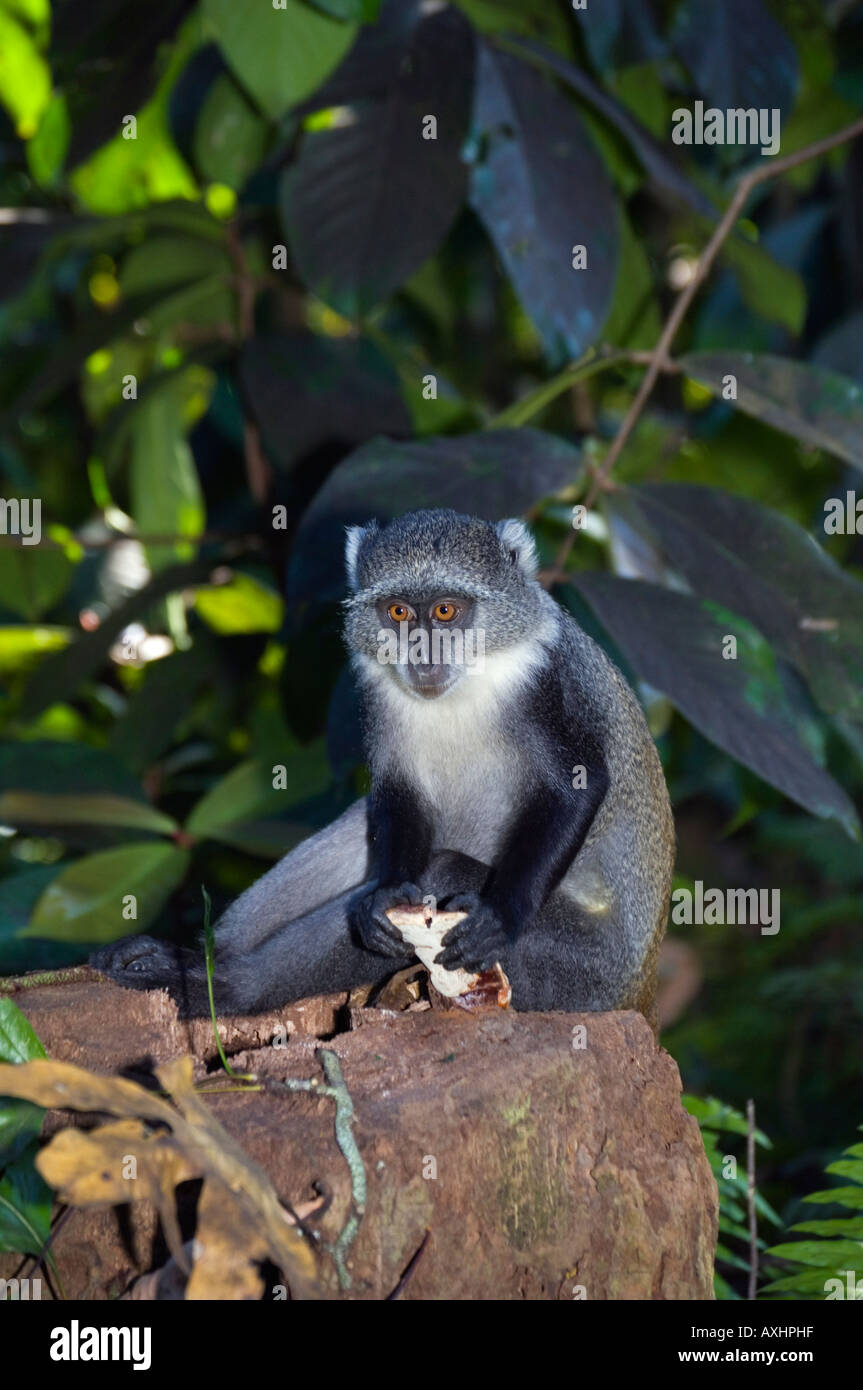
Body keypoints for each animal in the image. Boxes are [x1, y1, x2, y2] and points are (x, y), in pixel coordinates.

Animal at [92, 509, 675, 1029]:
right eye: (397, 612)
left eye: (445, 611)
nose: (422, 655)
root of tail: (637, 994)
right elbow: (398, 795)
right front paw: (383, 901)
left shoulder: (545, 677)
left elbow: (577, 787)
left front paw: (500, 916)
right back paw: (198, 960)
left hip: (572, 974)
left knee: (444, 872)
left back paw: (230, 989)